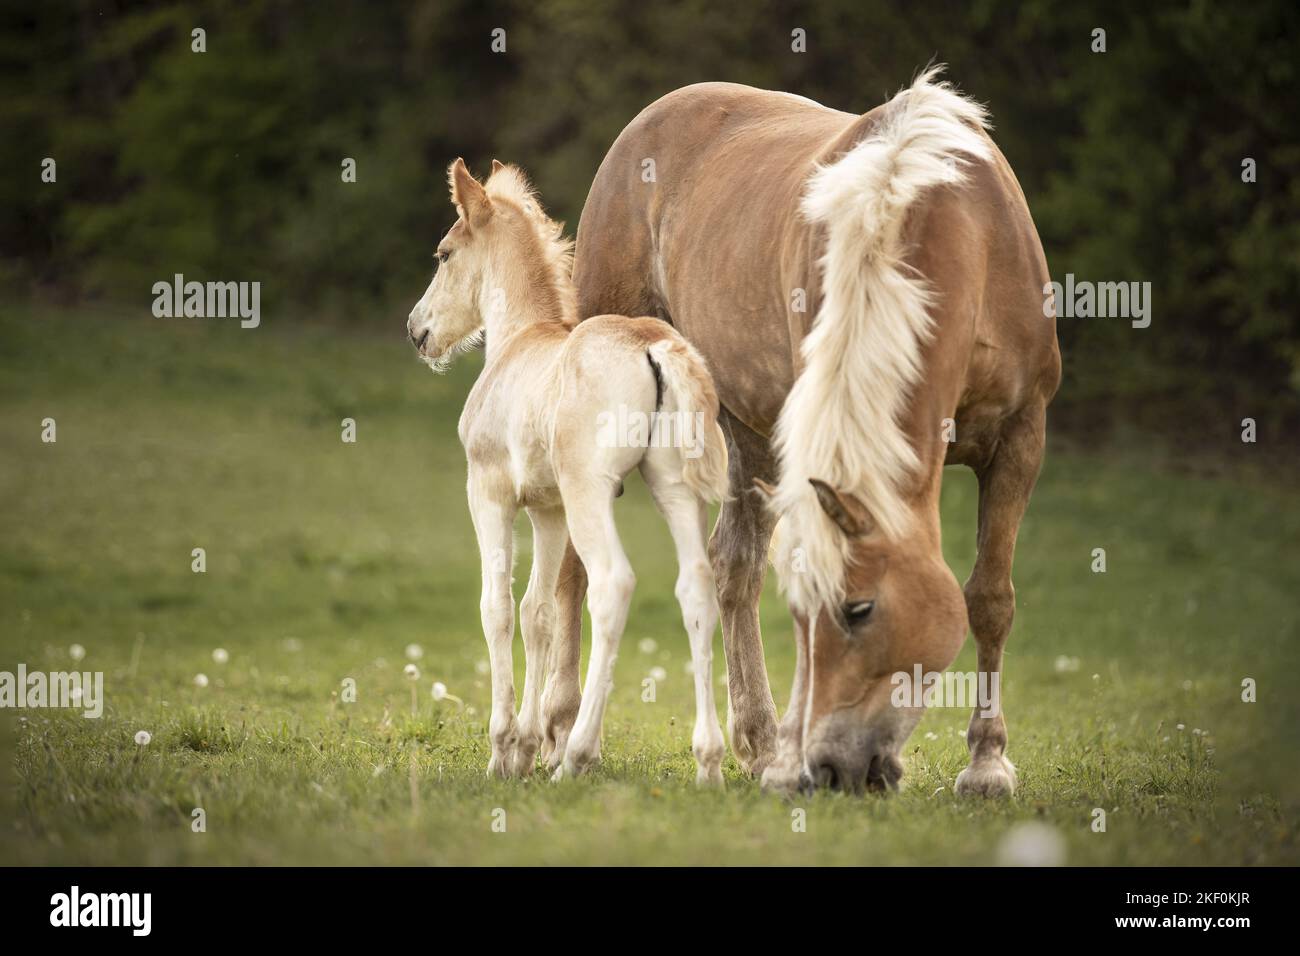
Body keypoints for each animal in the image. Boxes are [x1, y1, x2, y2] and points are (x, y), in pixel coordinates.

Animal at [406, 158, 732, 784]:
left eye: (444, 253)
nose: (417, 330)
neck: (517, 341)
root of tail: (652, 343)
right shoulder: (548, 510)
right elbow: (538, 612)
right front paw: (526, 748)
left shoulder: (489, 493)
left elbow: (498, 608)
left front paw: (502, 748)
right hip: (673, 489)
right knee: (698, 589)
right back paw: (708, 762)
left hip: (590, 493)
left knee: (613, 585)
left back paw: (578, 756)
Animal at [555, 67, 1061, 795]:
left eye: (859, 609)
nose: (832, 768)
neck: (961, 231)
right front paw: (792, 762)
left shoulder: (1022, 436)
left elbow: (990, 598)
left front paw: (987, 765)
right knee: (576, 564)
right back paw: (558, 727)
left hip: (745, 429)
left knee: (732, 564)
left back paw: (757, 739)